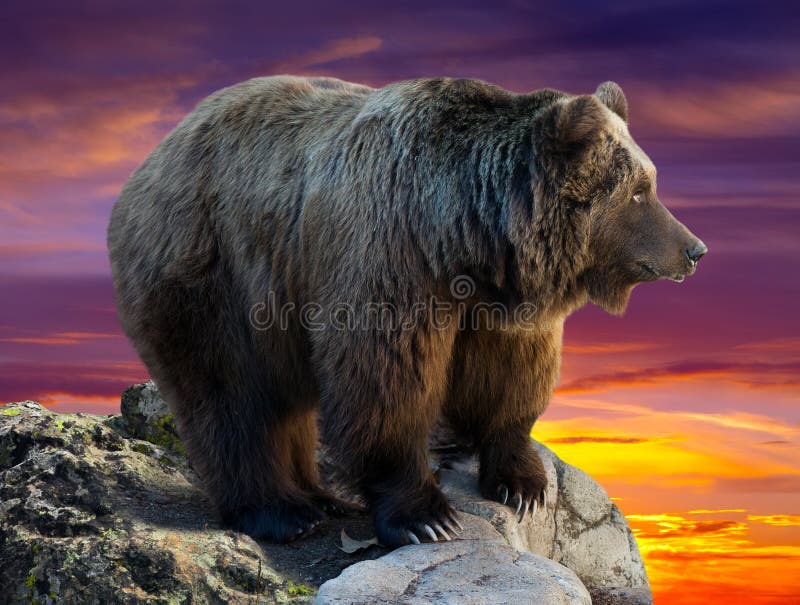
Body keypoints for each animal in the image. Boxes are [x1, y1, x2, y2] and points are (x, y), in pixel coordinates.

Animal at [107, 76, 707, 546]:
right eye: (639, 191)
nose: (694, 249)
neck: (464, 233)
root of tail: (149, 163)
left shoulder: (495, 303)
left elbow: (508, 377)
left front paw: (522, 482)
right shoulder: (389, 257)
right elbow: (386, 384)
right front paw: (425, 515)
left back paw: (319, 496)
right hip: (212, 271)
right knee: (230, 396)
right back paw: (282, 511)